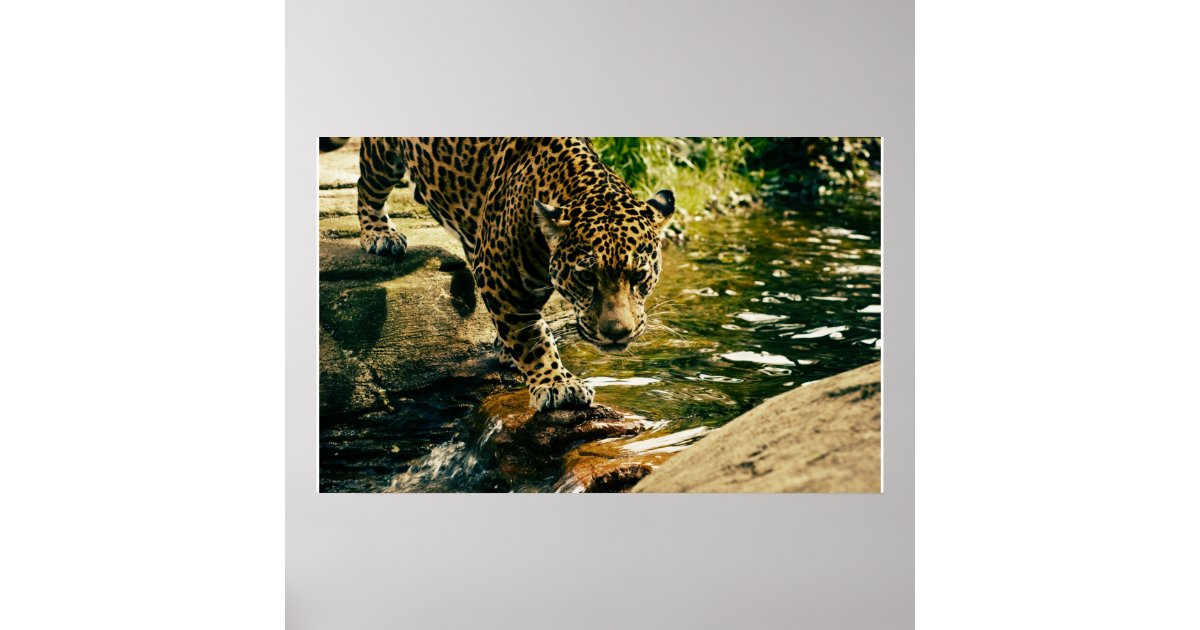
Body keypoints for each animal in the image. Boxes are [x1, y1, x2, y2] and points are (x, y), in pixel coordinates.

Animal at [355, 137, 674, 411]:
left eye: (639, 277)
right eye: (586, 277)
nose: (617, 334)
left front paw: (506, 349)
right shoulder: (500, 275)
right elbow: (532, 336)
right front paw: (557, 384)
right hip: (382, 156)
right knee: (366, 185)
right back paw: (380, 234)